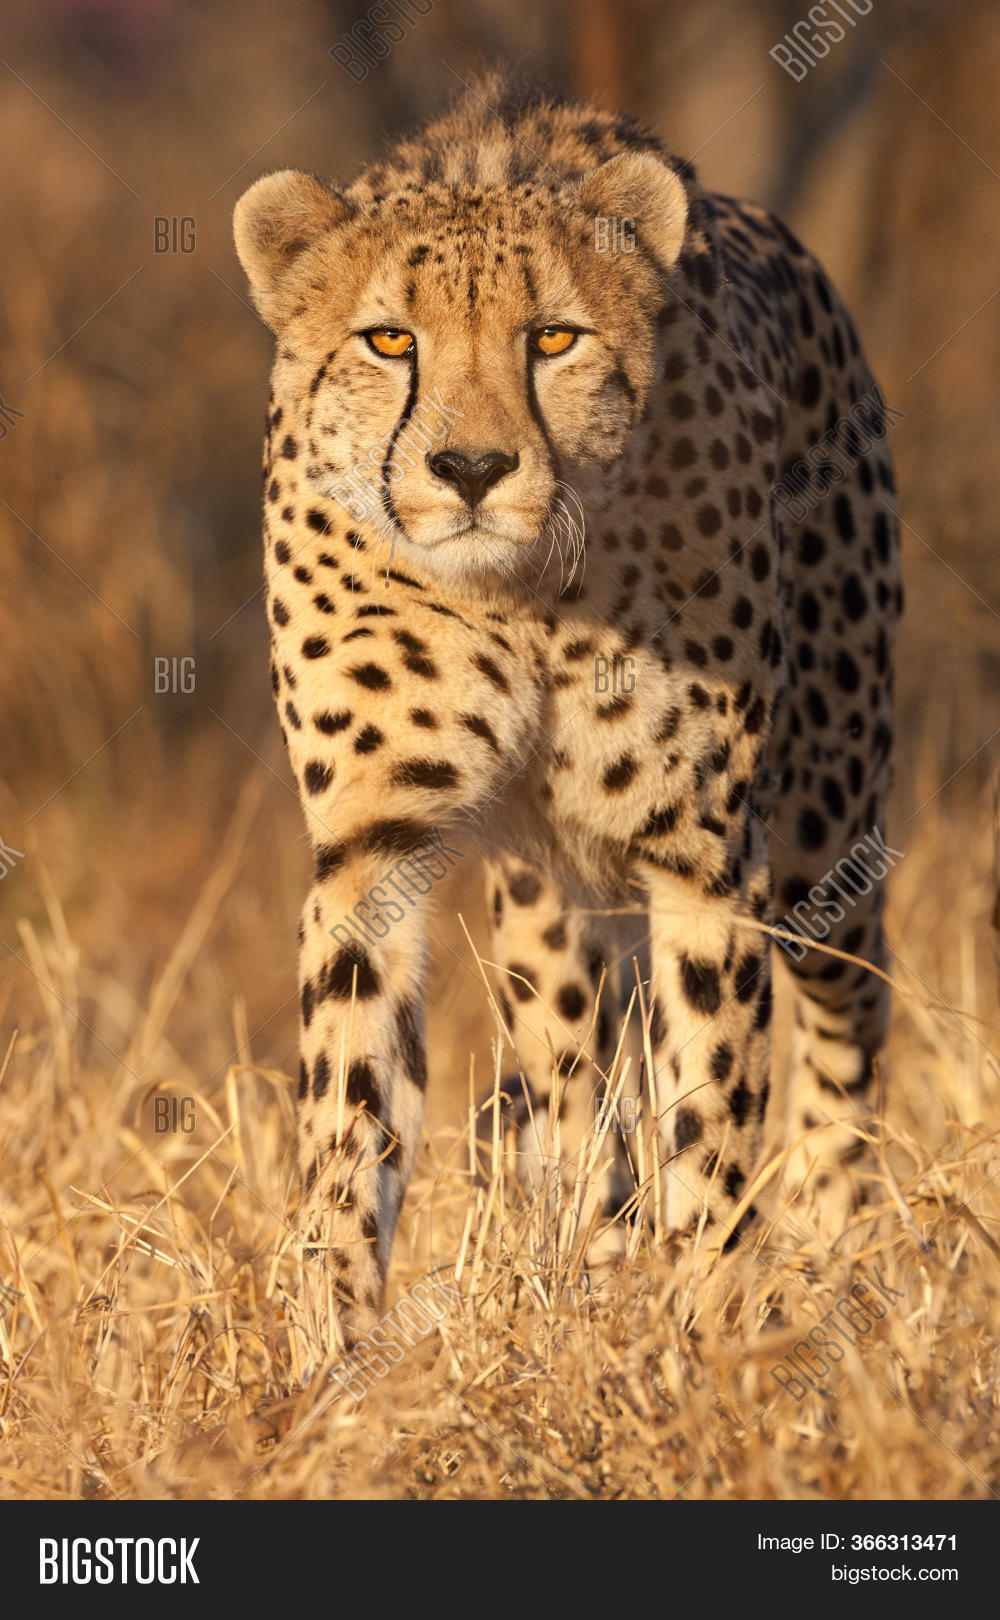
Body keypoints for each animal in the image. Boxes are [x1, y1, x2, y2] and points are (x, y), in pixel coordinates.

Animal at [233, 72, 901, 1347]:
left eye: (553, 337)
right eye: (388, 339)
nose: (471, 470)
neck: (522, 598)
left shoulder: (704, 851)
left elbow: (717, 1095)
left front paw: (708, 1323)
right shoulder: (373, 841)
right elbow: (350, 1094)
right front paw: (330, 1335)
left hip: (824, 825)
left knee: (850, 1011)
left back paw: (839, 1246)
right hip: (553, 900)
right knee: (573, 1072)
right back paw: (588, 1250)